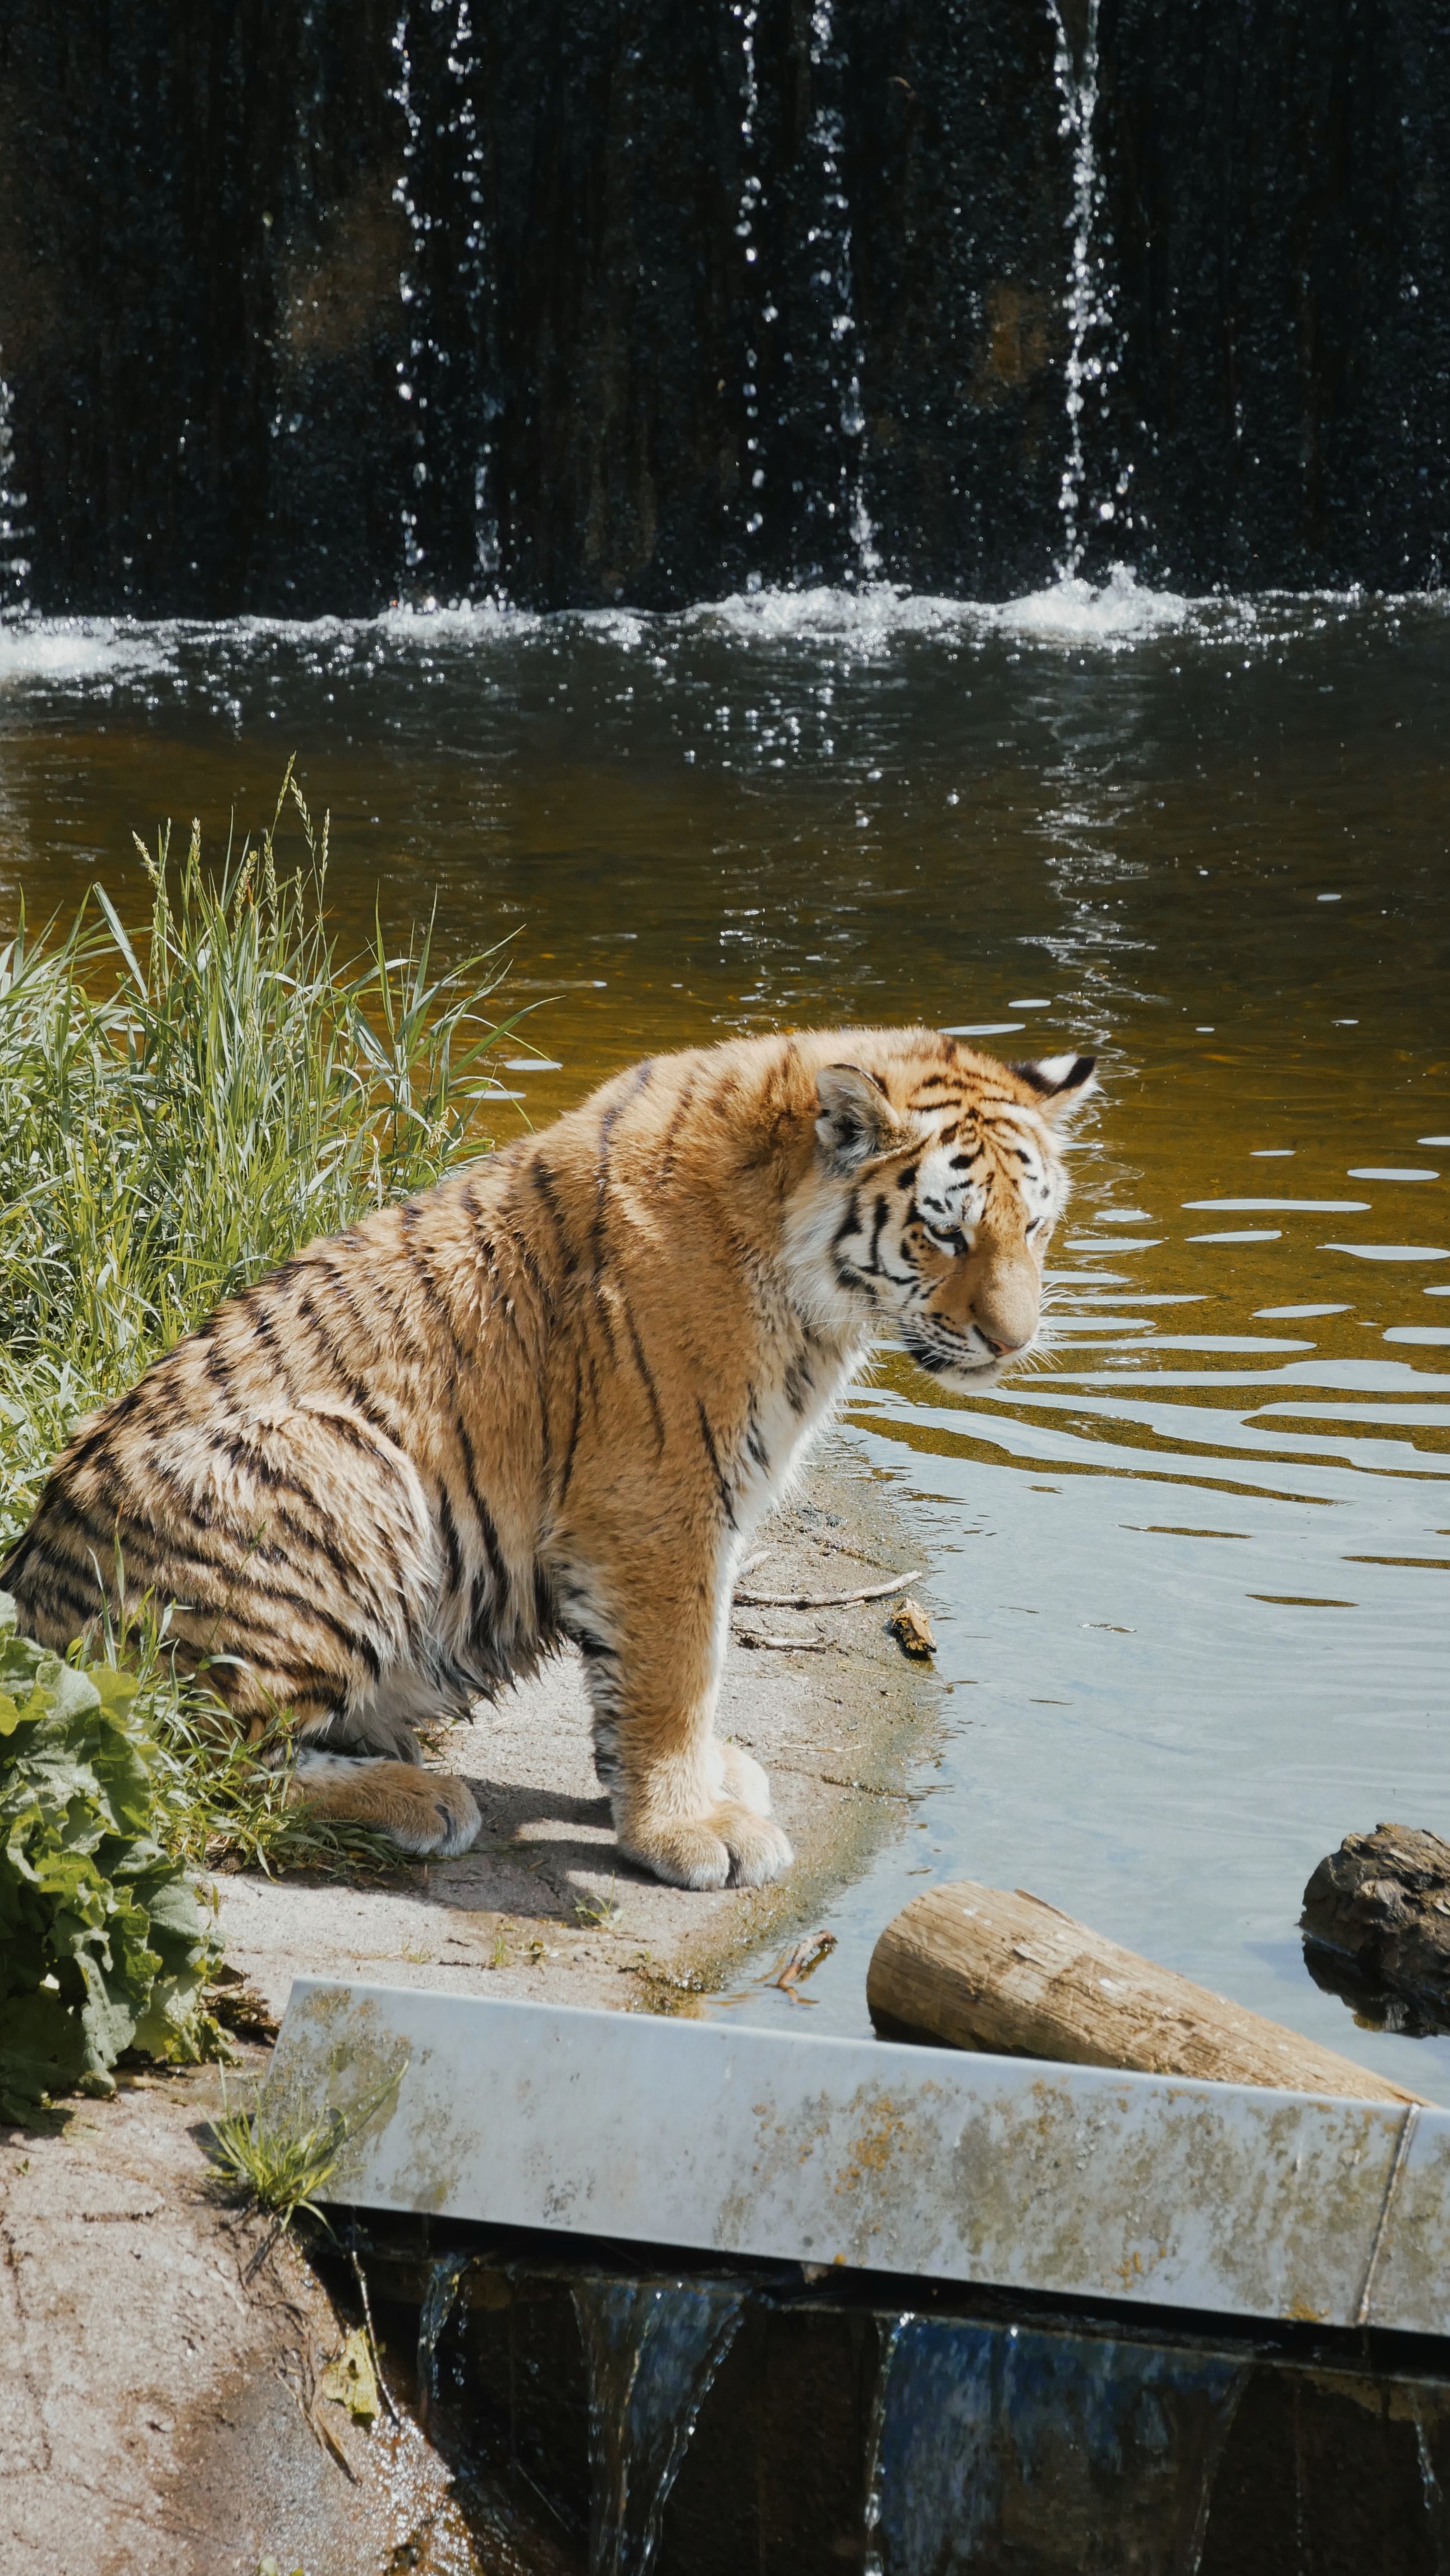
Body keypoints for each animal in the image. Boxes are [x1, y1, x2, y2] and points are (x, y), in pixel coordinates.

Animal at [1, 1028, 1096, 1889]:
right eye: (944, 1231)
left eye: (1034, 1225)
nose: (1014, 1343)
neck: (810, 1286)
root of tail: (32, 1607)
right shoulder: (661, 1501)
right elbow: (677, 1670)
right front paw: (688, 1830)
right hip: (337, 1465)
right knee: (186, 1763)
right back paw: (417, 1796)